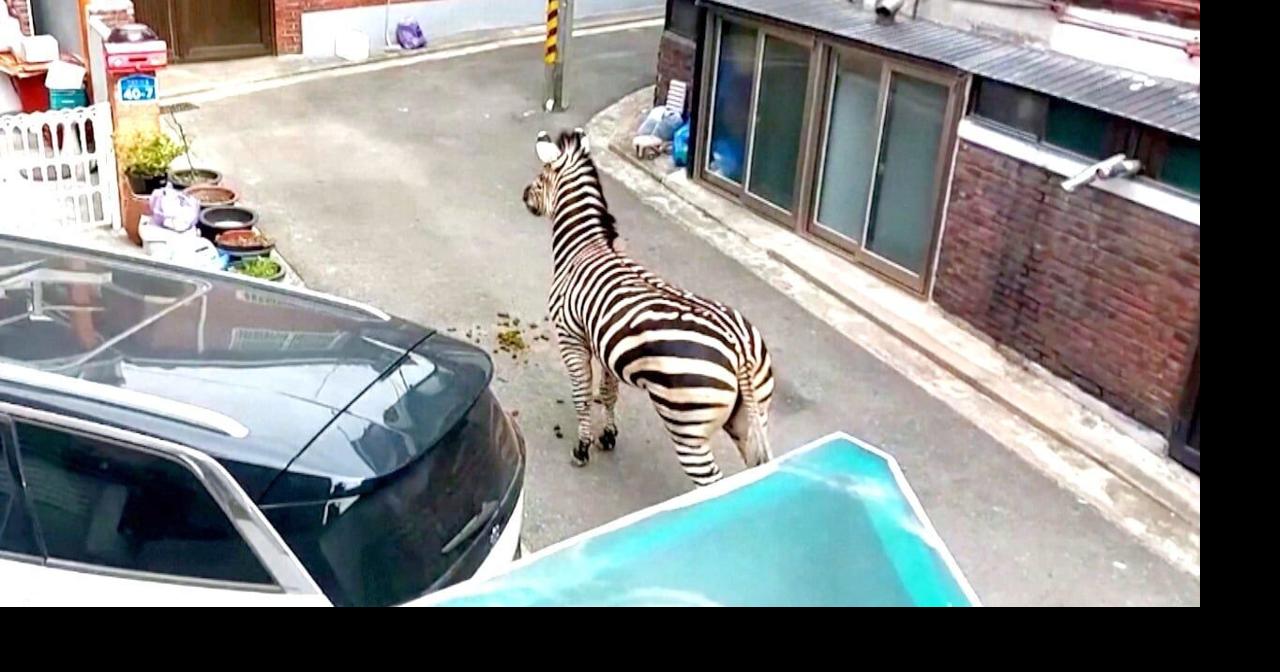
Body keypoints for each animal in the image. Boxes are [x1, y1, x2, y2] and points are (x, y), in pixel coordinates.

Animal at [522, 128, 775, 486]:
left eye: (542, 176)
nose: (524, 196)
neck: (584, 247)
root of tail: (740, 349)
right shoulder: (604, 347)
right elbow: (608, 393)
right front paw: (608, 436)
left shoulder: (571, 338)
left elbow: (582, 395)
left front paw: (582, 448)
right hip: (753, 416)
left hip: (688, 428)